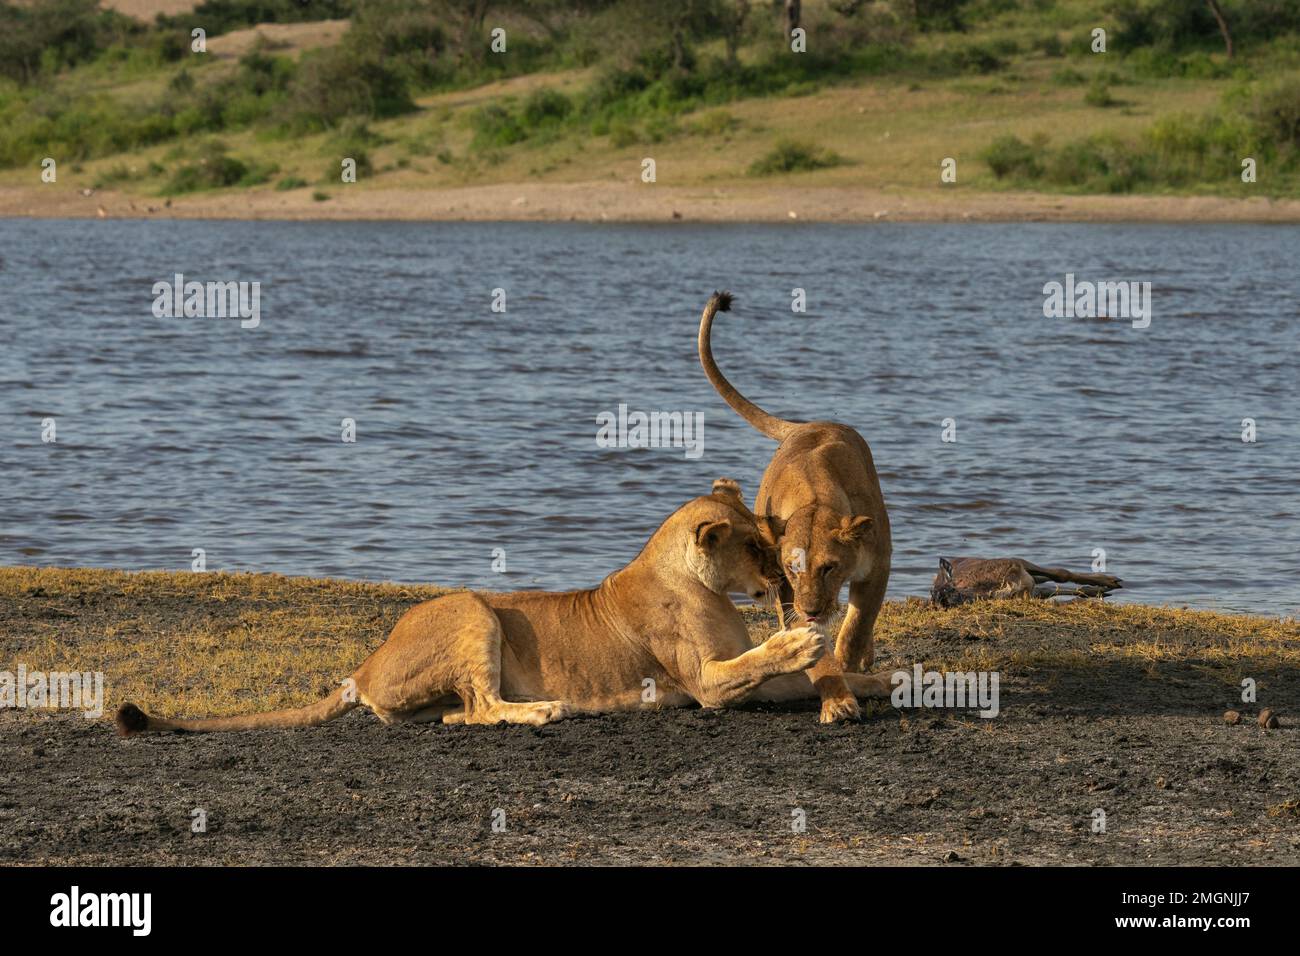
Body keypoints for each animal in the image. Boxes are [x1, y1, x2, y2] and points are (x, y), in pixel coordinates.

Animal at [115, 480, 896, 736]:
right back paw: (546, 710)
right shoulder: (706, 684)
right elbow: (761, 663)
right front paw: (802, 643)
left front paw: (879, 681)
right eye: (763, 550)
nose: (787, 593)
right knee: (483, 708)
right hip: (473, 610)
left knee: (459, 715)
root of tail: (361, 668)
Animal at [698, 291, 891, 724]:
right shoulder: (787, 591)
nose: (814, 610)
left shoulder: (878, 564)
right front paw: (837, 699)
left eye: (830, 567)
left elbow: (857, 626)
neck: (816, 499)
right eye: (792, 567)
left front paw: (851, 663)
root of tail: (806, 424)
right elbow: (814, 651)